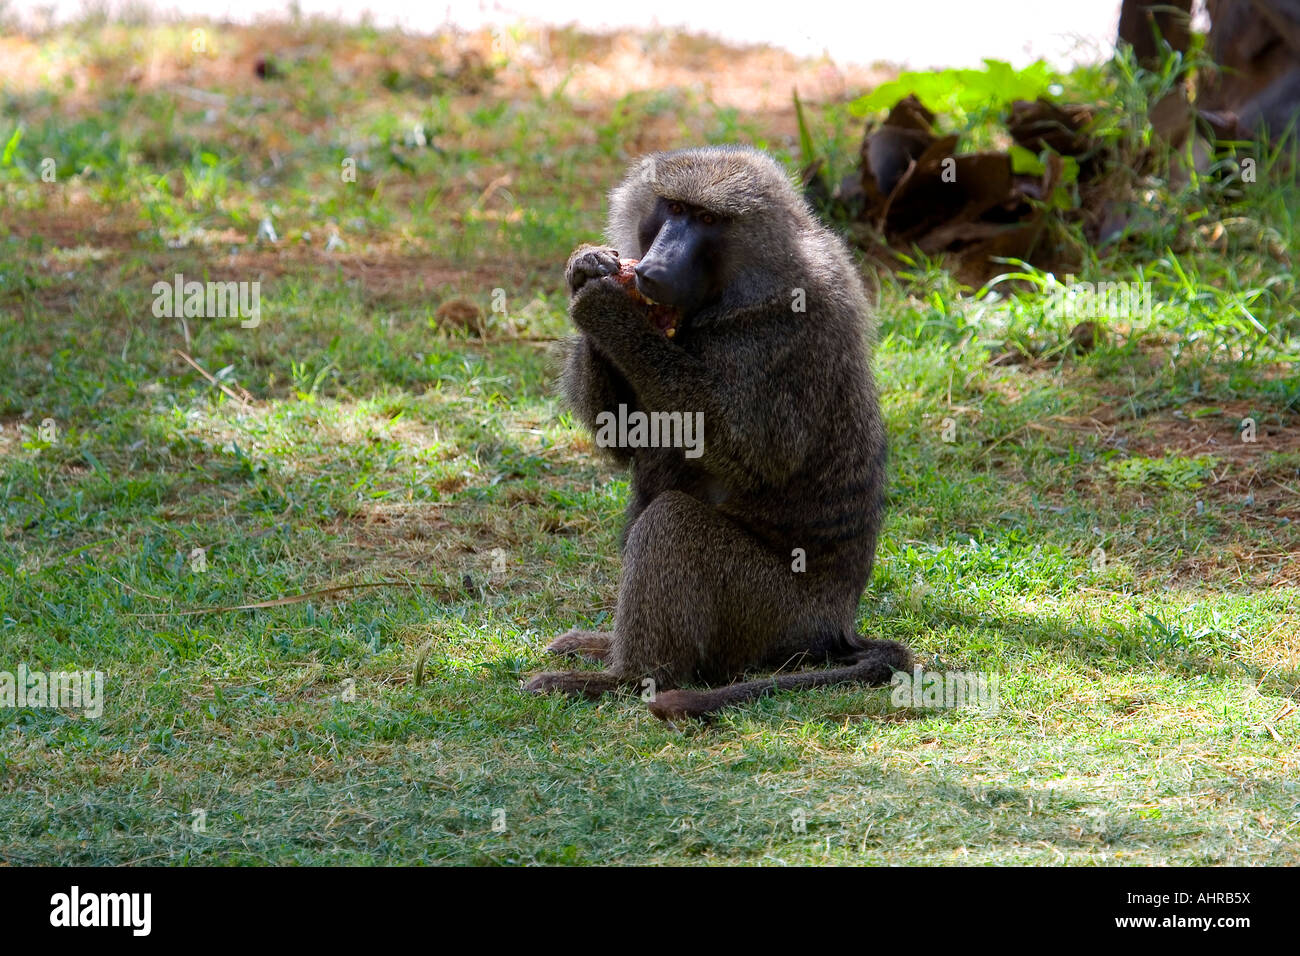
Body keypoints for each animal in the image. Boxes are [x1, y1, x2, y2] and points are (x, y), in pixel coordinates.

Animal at [526, 145, 912, 720]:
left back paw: (622, 679)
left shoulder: (780, 333)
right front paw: (589, 269)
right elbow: (628, 439)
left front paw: (606, 308)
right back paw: (606, 650)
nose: (654, 270)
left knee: (673, 521)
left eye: (708, 220)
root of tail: (835, 623)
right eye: (673, 208)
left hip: (770, 611)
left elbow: (752, 455)